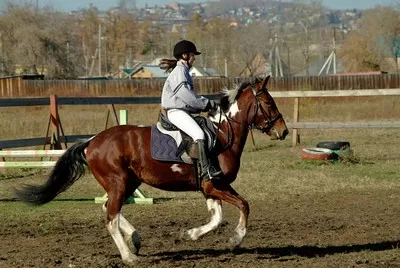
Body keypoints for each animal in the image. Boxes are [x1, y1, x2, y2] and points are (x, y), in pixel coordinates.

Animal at [14, 76, 288, 264]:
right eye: (269, 103)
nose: (283, 131)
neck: (222, 134)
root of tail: (92, 141)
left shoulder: (211, 187)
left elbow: (218, 217)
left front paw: (190, 235)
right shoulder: (214, 185)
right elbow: (242, 206)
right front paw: (235, 238)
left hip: (129, 183)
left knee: (110, 209)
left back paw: (135, 240)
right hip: (119, 183)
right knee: (110, 216)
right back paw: (129, 256)